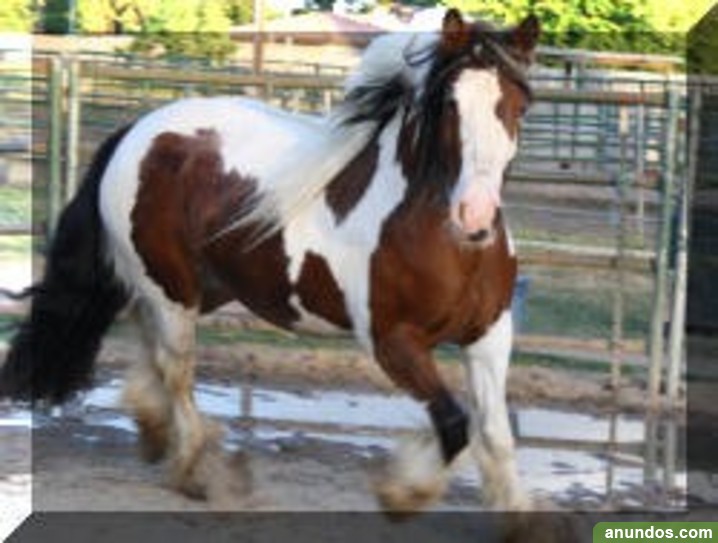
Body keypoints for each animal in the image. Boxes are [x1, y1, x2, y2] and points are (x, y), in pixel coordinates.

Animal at [0, 9, 539, 513]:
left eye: (518, 104)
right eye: (450, 105)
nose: (475, 215)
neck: (450, 246)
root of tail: (137, 131)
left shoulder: (490, 336)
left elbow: (494, 434)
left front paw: (517, 514)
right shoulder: (394, 342)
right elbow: (455, 423)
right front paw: (404, 492)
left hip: (197, 287)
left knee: (146, 335)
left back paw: (154, 428)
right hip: (173, 290)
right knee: (175, 367)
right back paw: (193, 466)